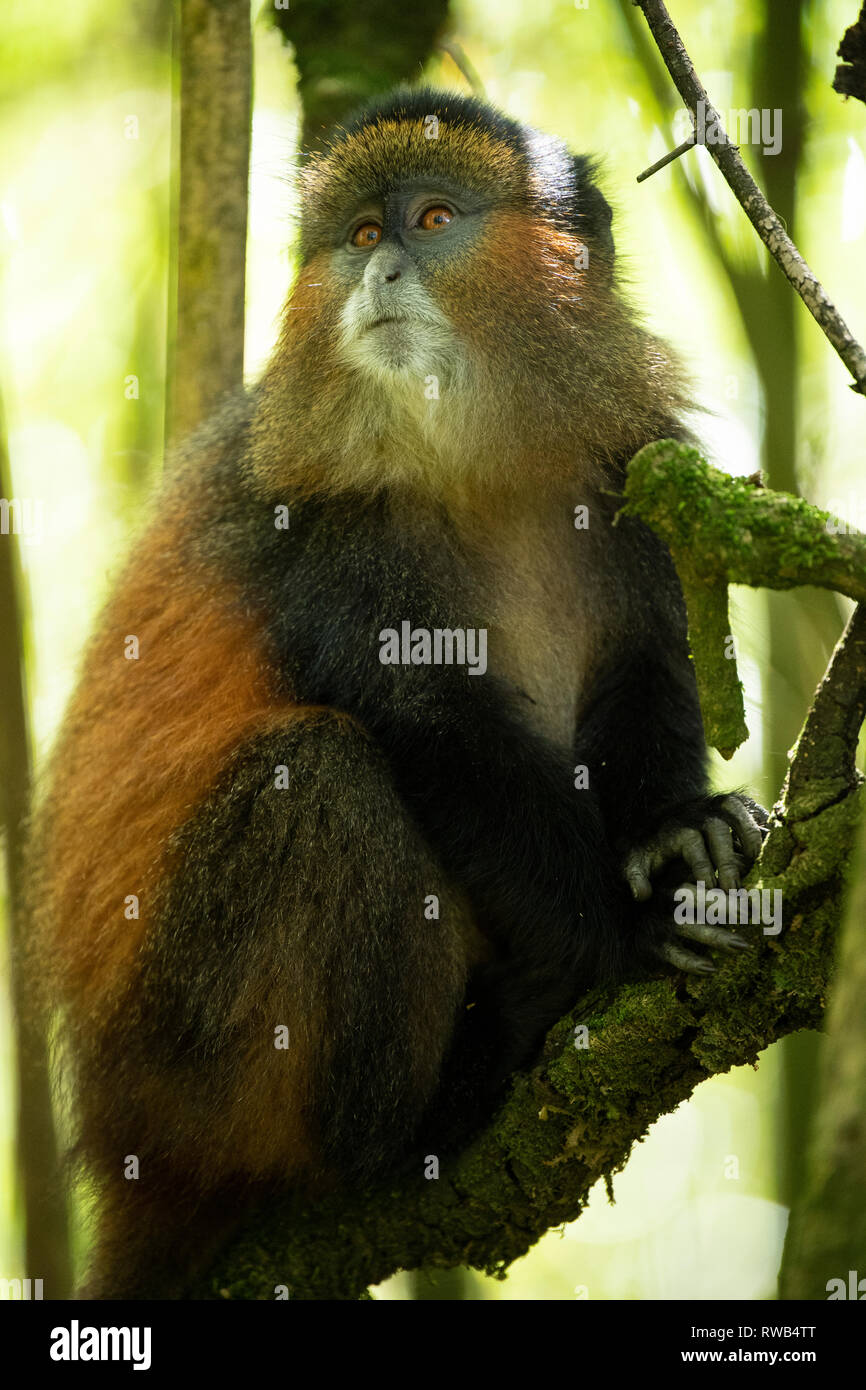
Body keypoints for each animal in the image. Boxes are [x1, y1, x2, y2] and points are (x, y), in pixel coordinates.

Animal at [28, 87, 766, 1300]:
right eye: (362, 234)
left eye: (430, 219)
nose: (378, 271)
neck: (471, 461)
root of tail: (127, 1151)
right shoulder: (334, 534)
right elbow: (432, 738)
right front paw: (626, 926)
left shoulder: (627, 471)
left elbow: (645, 670)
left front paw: (675, 836)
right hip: (186, 1067)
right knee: (319, 777)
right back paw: (428, 1111)